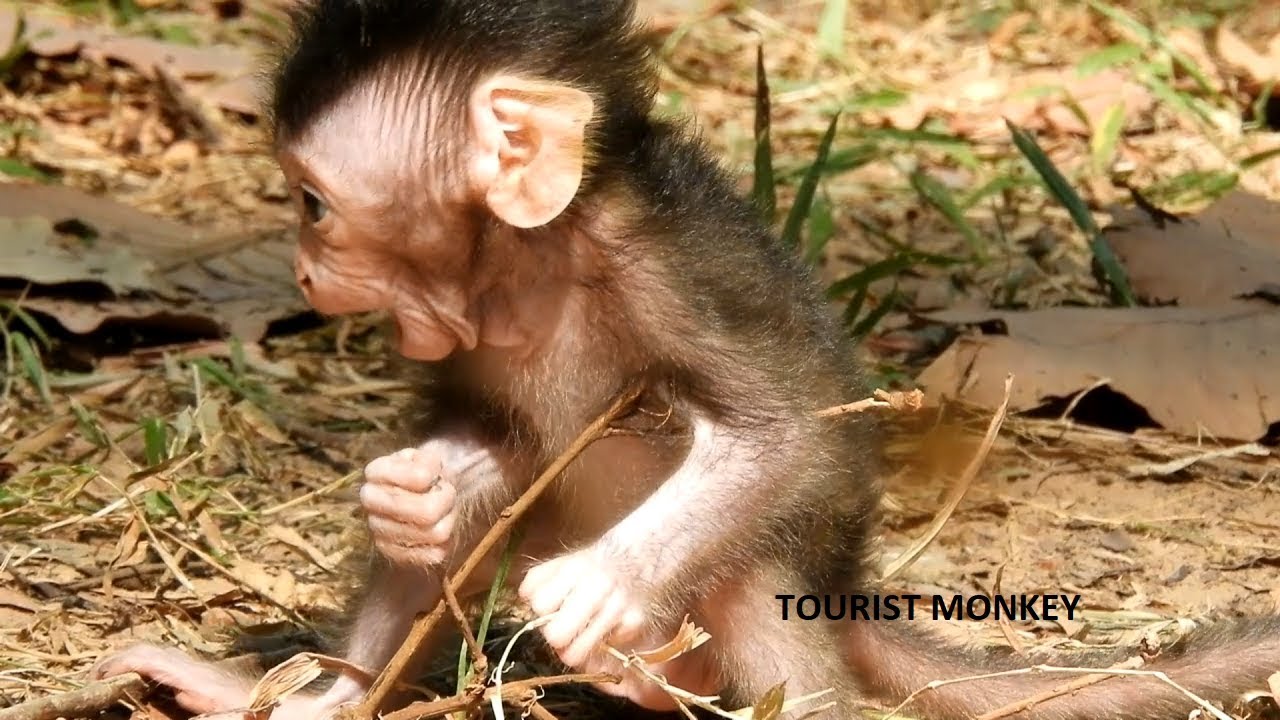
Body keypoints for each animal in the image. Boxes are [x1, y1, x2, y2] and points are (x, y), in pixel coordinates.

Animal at [90, 1, 1280, 719]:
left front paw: (602, 583)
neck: (531, 264)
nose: (301, 267)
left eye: (313, 204)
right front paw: (419, 494)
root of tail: (846, 595)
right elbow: (493, 457)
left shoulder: (657, 271)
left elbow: (783, 431)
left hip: (779, 592)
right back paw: (335, 697)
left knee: (753, 576)